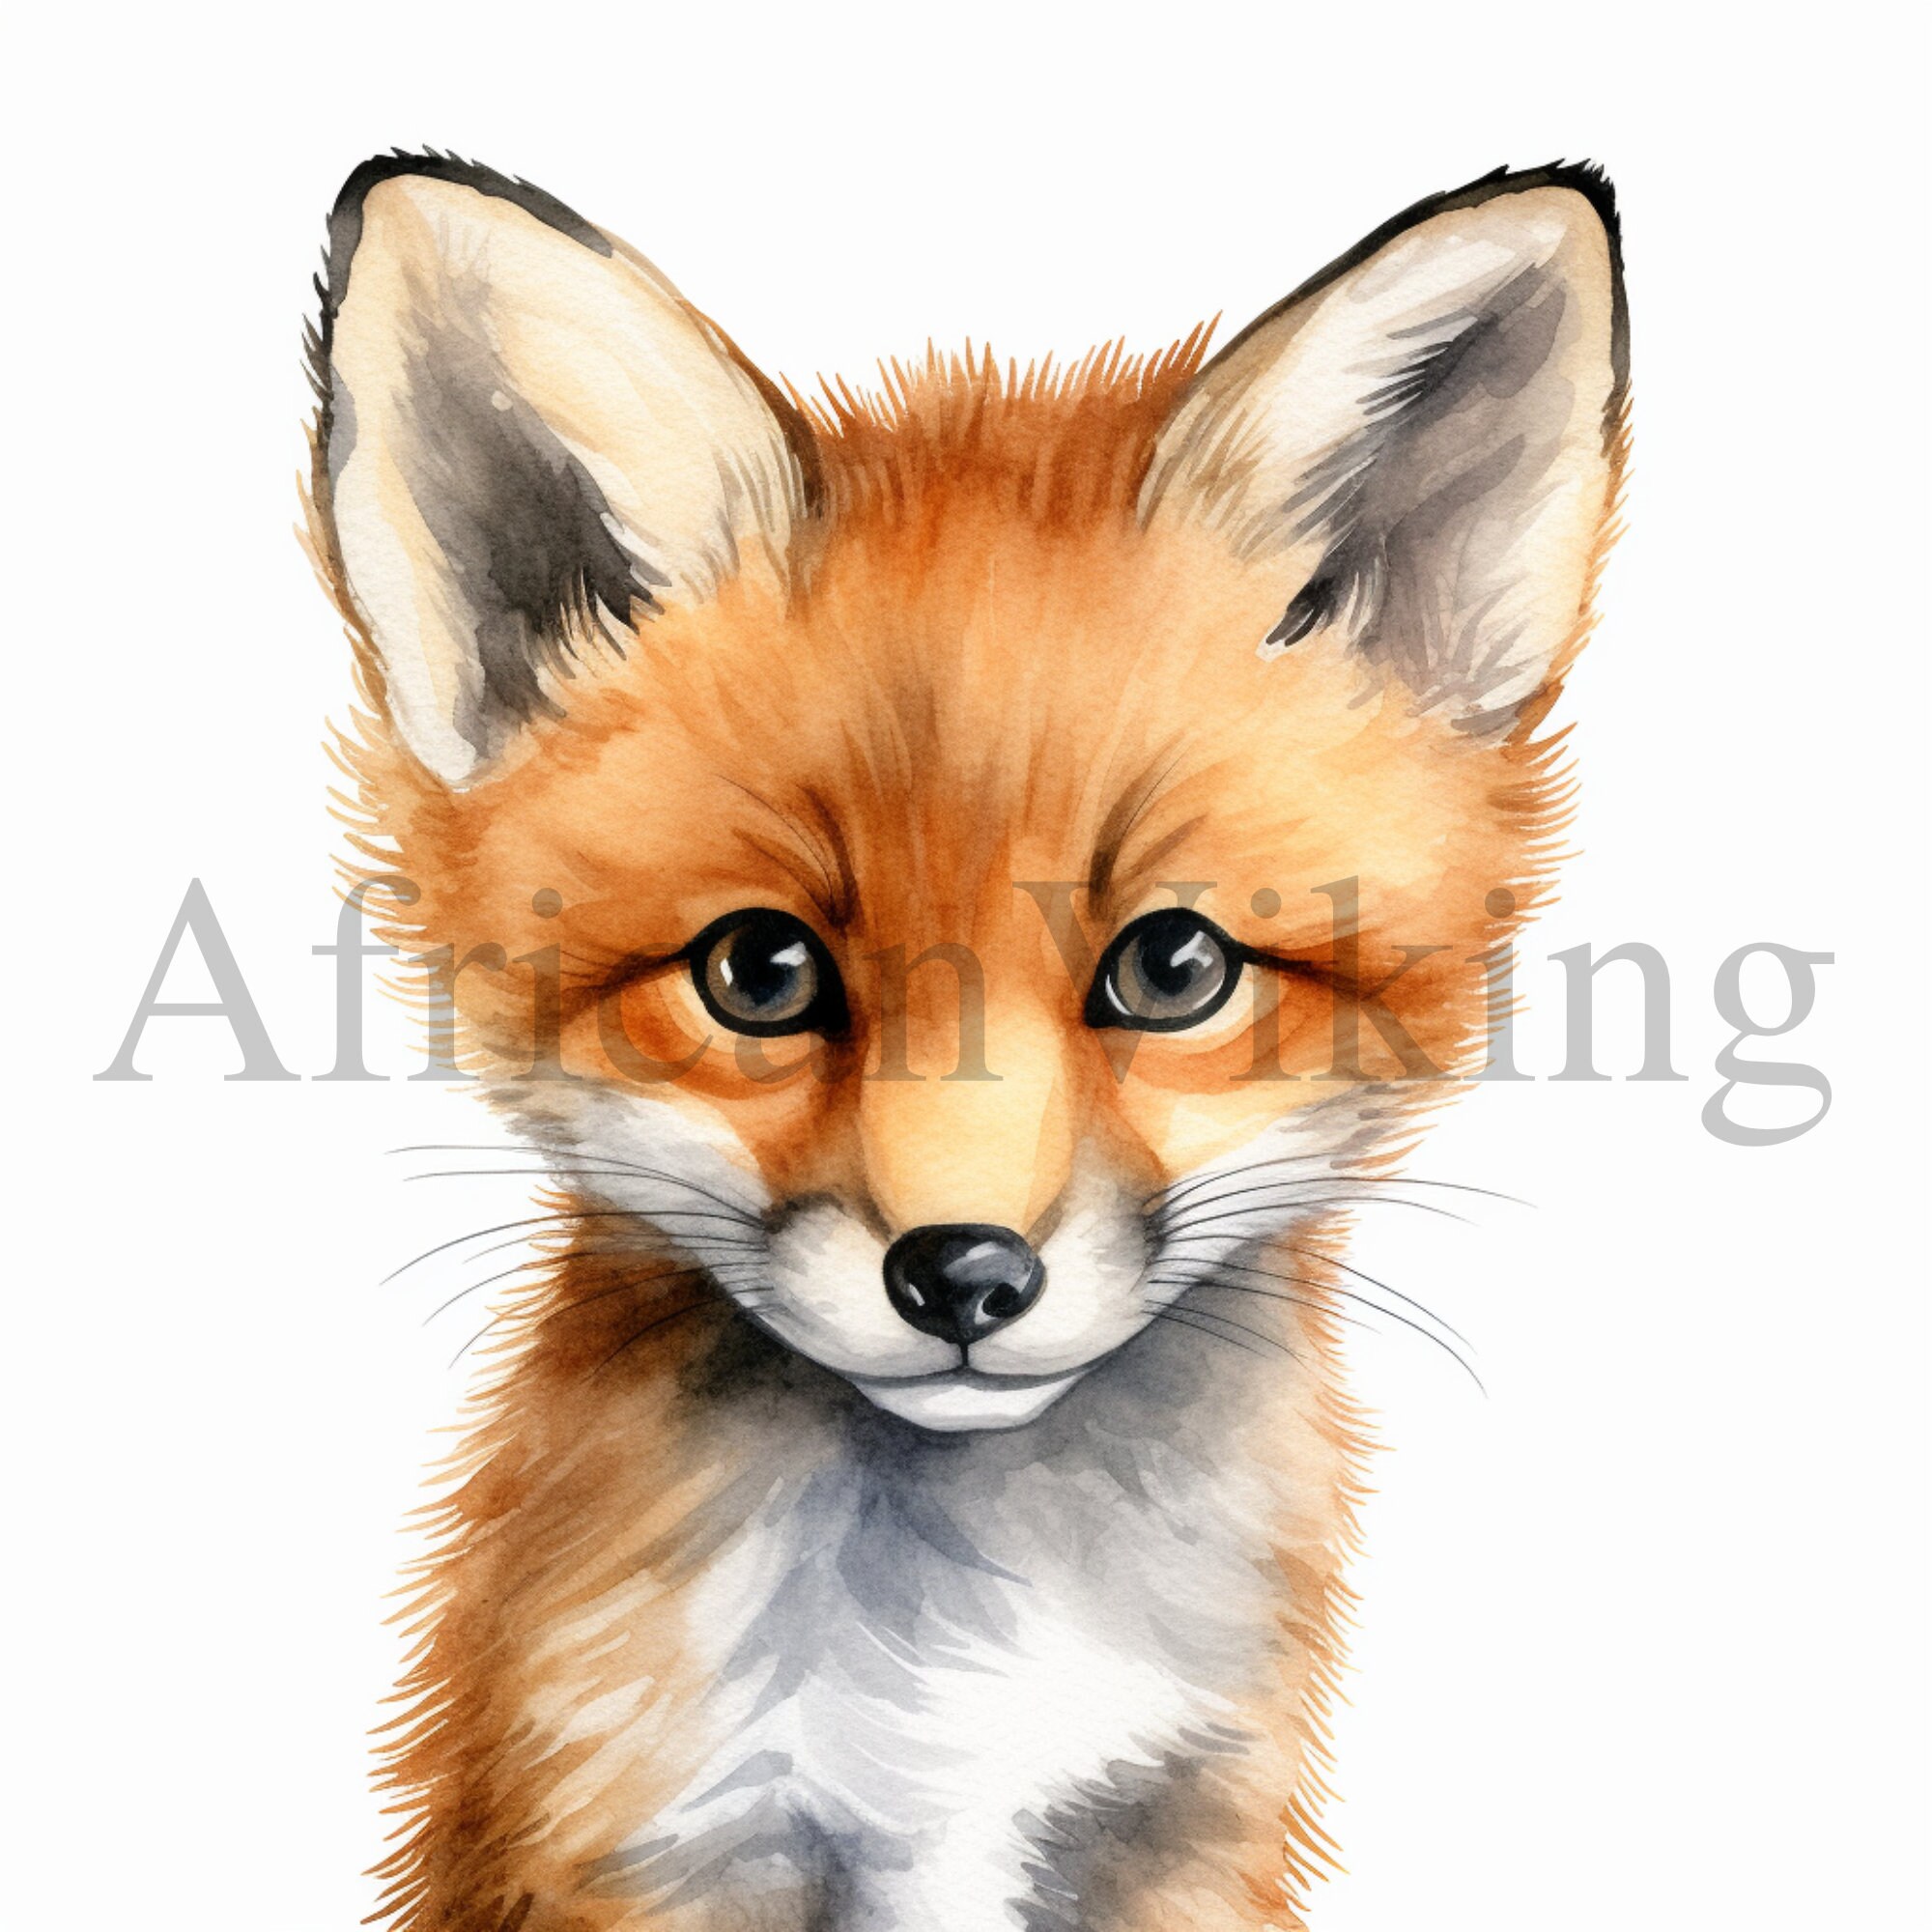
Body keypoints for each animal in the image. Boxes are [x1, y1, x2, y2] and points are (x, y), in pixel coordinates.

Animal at [303, 151, 1626, 1931]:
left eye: (1174, 967)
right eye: (760, 971)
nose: (966, 1279)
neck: (952, 1689)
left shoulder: (1185, 1824)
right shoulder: (641, 1837)